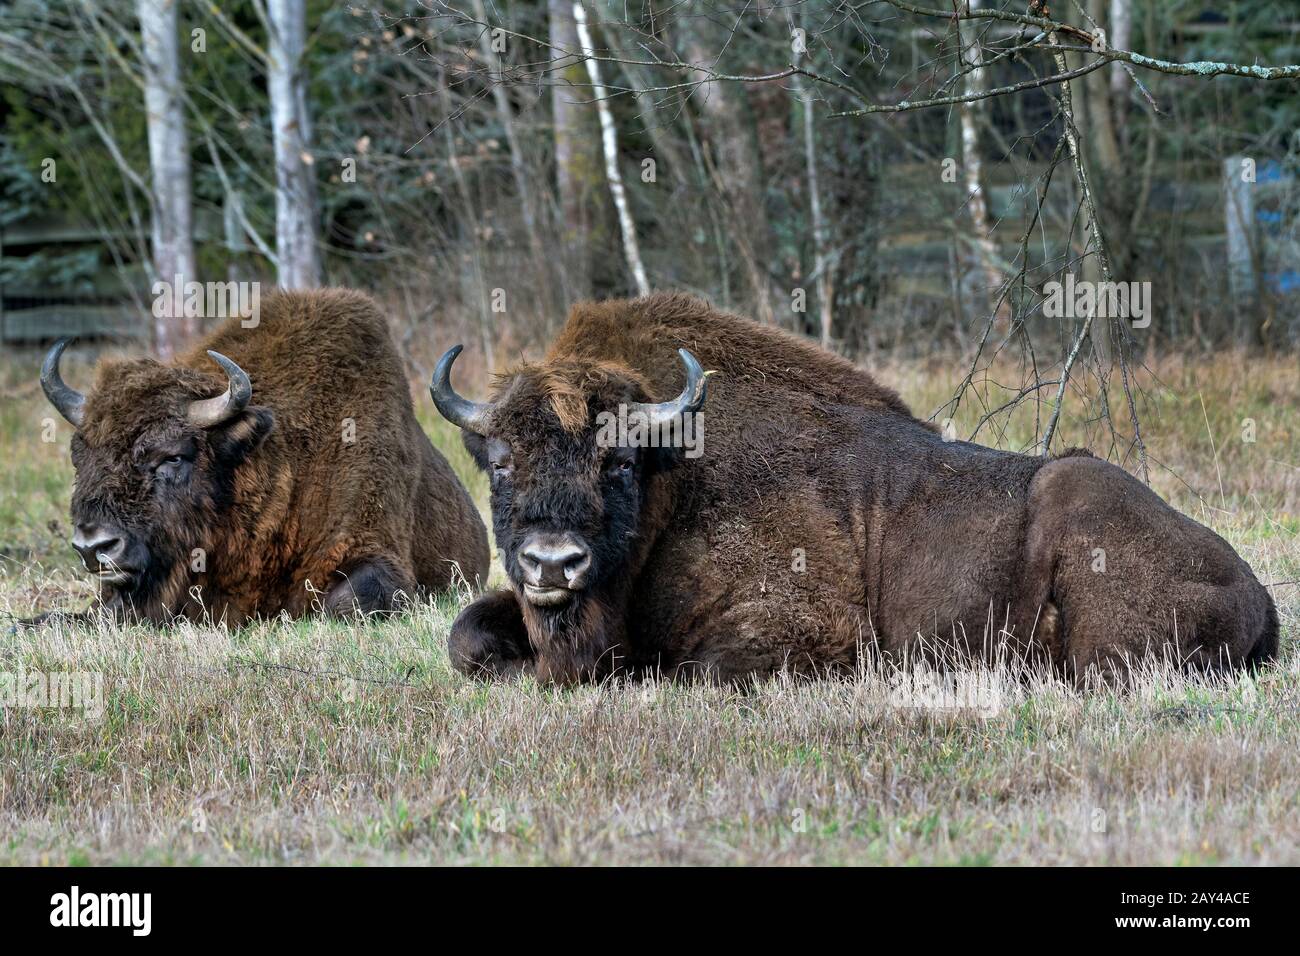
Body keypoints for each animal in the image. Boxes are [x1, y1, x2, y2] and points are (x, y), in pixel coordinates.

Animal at [431, 292, 1278, 684]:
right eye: (499, 462)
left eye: (617, 463)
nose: (552, 563)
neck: (676, 474)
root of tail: (1258, 595)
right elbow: (464, 634)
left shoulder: (802, 630)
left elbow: (689, 668)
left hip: (1080, 516)